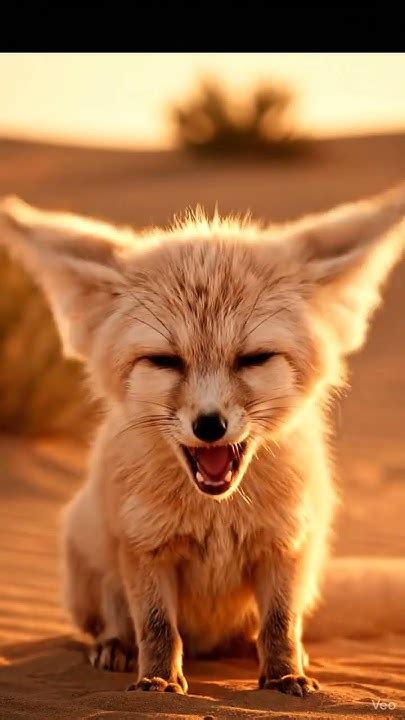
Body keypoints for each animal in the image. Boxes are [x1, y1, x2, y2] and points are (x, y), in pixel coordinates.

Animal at [0, 186, 404, 697]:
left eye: (254, 358)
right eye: (165, 361)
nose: (209, 425)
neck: (217, 514)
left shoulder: (286, 544)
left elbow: (280, 624)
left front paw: (284, 675)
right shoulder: (145, 546)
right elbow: (156, 626)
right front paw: (156, 680)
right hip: (83, 542)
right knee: (114, 617)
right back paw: (115, 645)